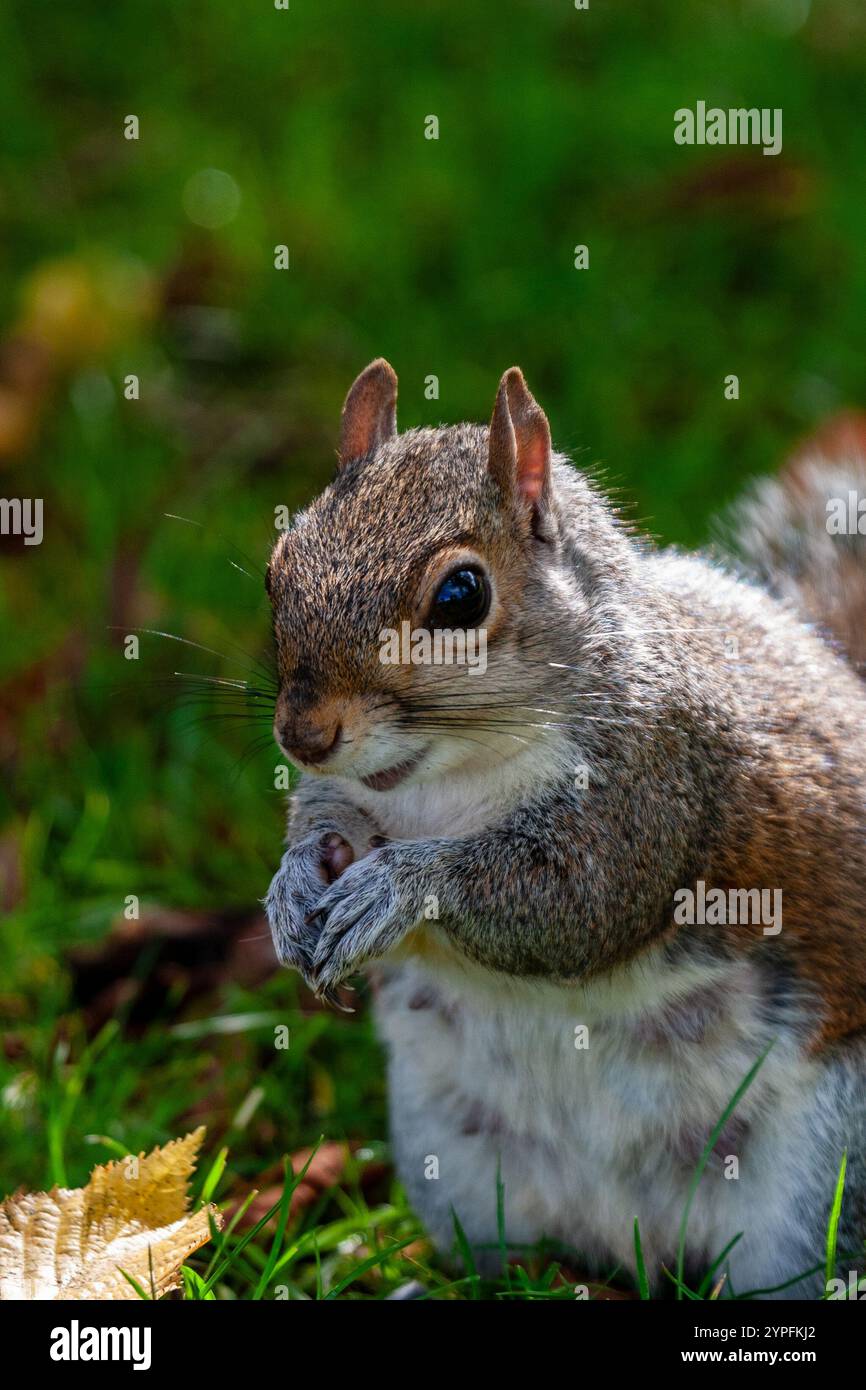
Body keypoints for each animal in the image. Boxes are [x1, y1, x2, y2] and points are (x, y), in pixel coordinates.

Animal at [264, 359, 866, 1298]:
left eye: (461, 595)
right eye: (277, 568)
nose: (303, 734)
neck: (447, 779)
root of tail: (629, 1238)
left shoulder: (654, 784)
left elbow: (572, 904)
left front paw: (398, 888)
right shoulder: (343, 796)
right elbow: (322, 827)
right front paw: (291, 891)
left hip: (815, 1180)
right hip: (455, 1157)